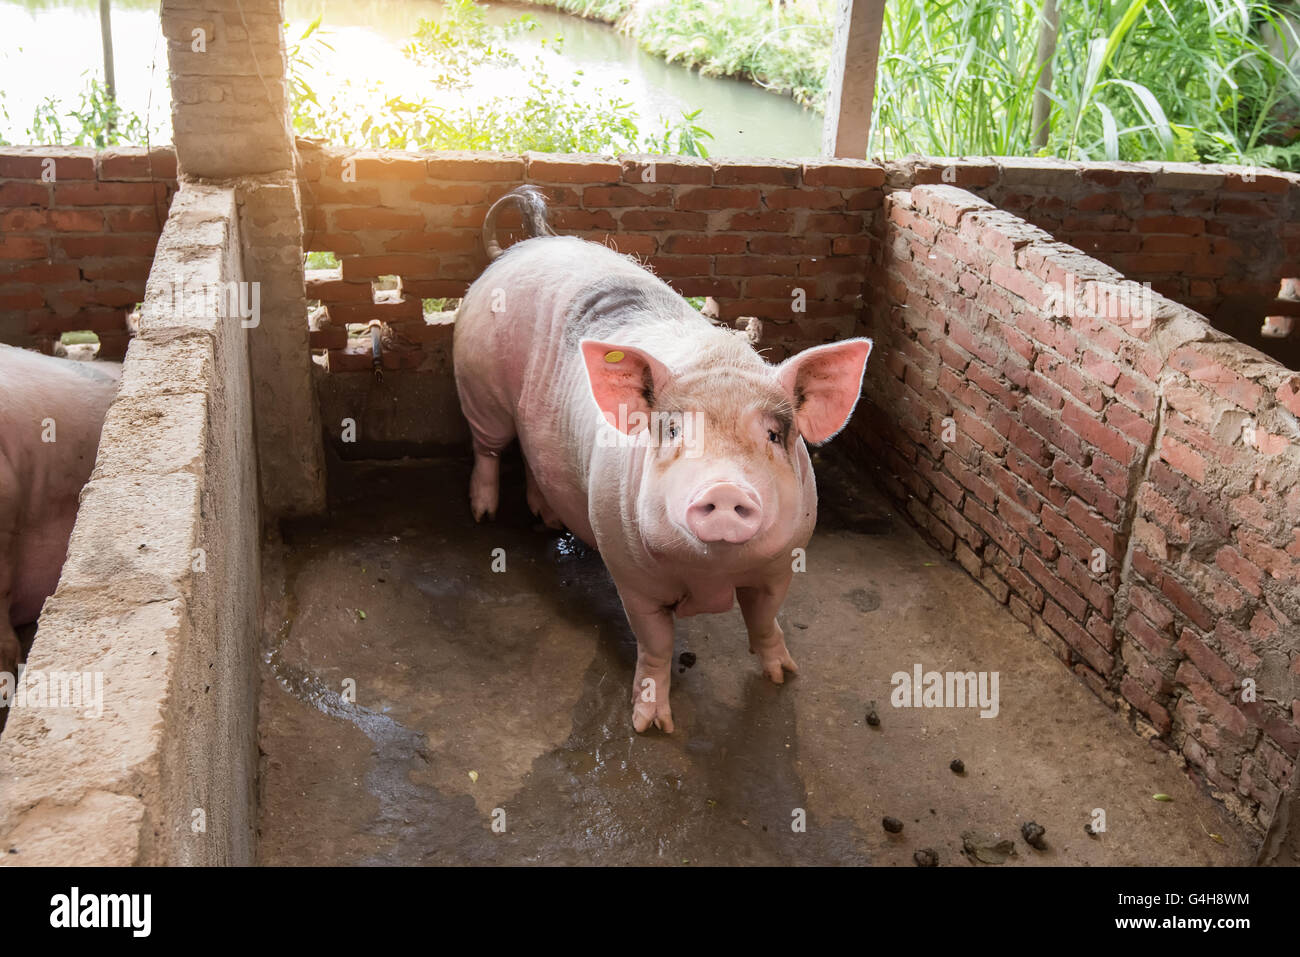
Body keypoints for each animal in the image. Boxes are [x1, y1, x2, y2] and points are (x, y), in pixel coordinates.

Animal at [454, 186, 871, 733]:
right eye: (673, 431)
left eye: (774, 434)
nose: (724, 488)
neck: (712, 576)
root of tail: (520, 248)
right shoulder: (630, 571)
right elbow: (655, 642)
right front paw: (651, 726)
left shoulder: (782, 563)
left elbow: (764, 618)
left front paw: (784, 676)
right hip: (478, 386)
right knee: (489, 447)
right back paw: (482, 514)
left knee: (530, 456)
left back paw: (547, 519)